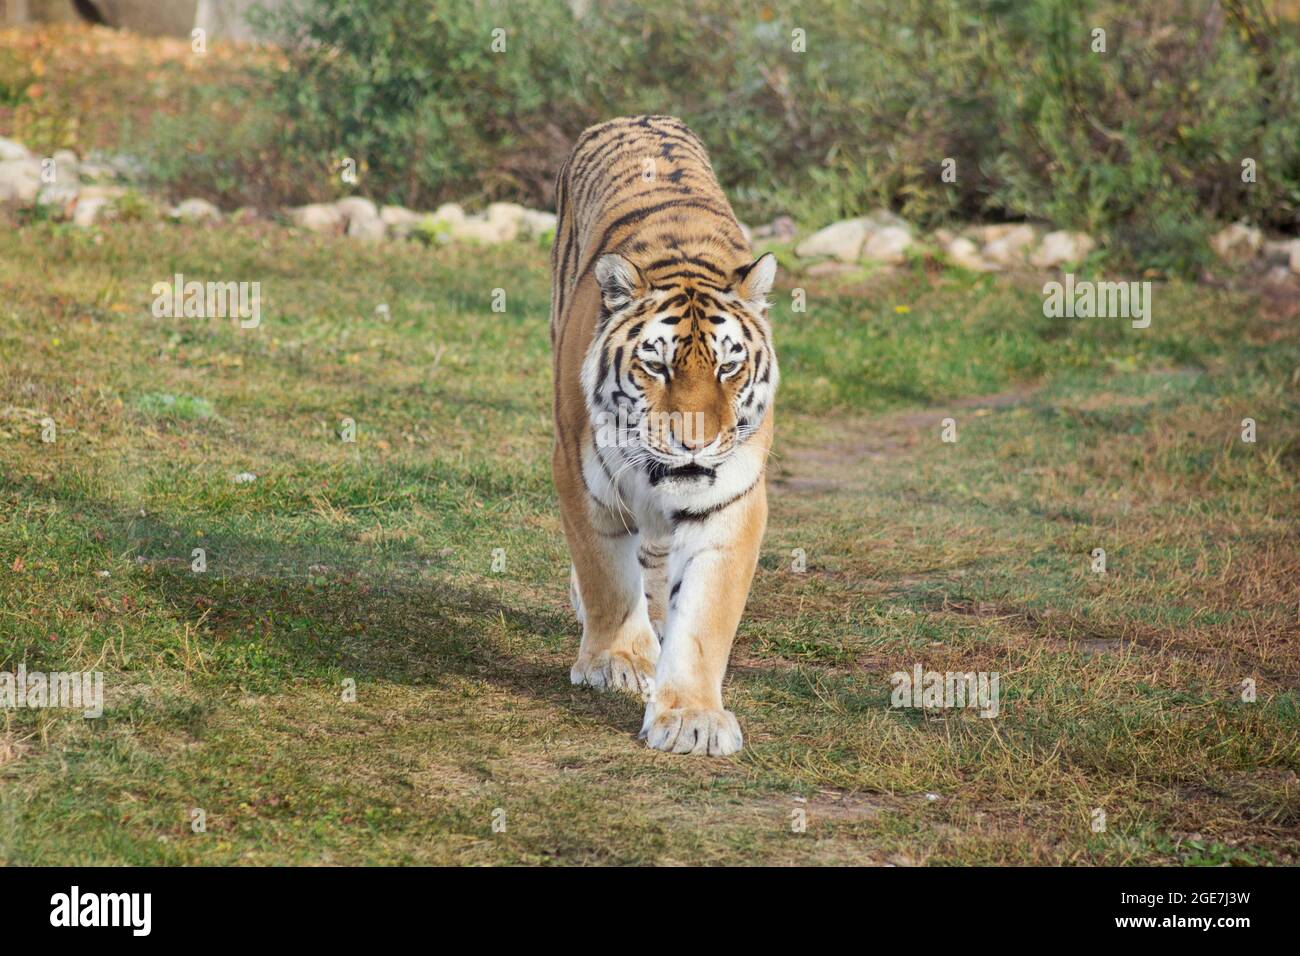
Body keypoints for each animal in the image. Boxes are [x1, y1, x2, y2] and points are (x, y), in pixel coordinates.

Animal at [549, 115, 779, 756]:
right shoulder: (582, 476)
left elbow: (702, 617)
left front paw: (692, 719)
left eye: (729, 366)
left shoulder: (730, 501)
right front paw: (618, 662)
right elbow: (606, 575)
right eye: (657, 365)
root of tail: (637, 116)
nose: (694, 444)